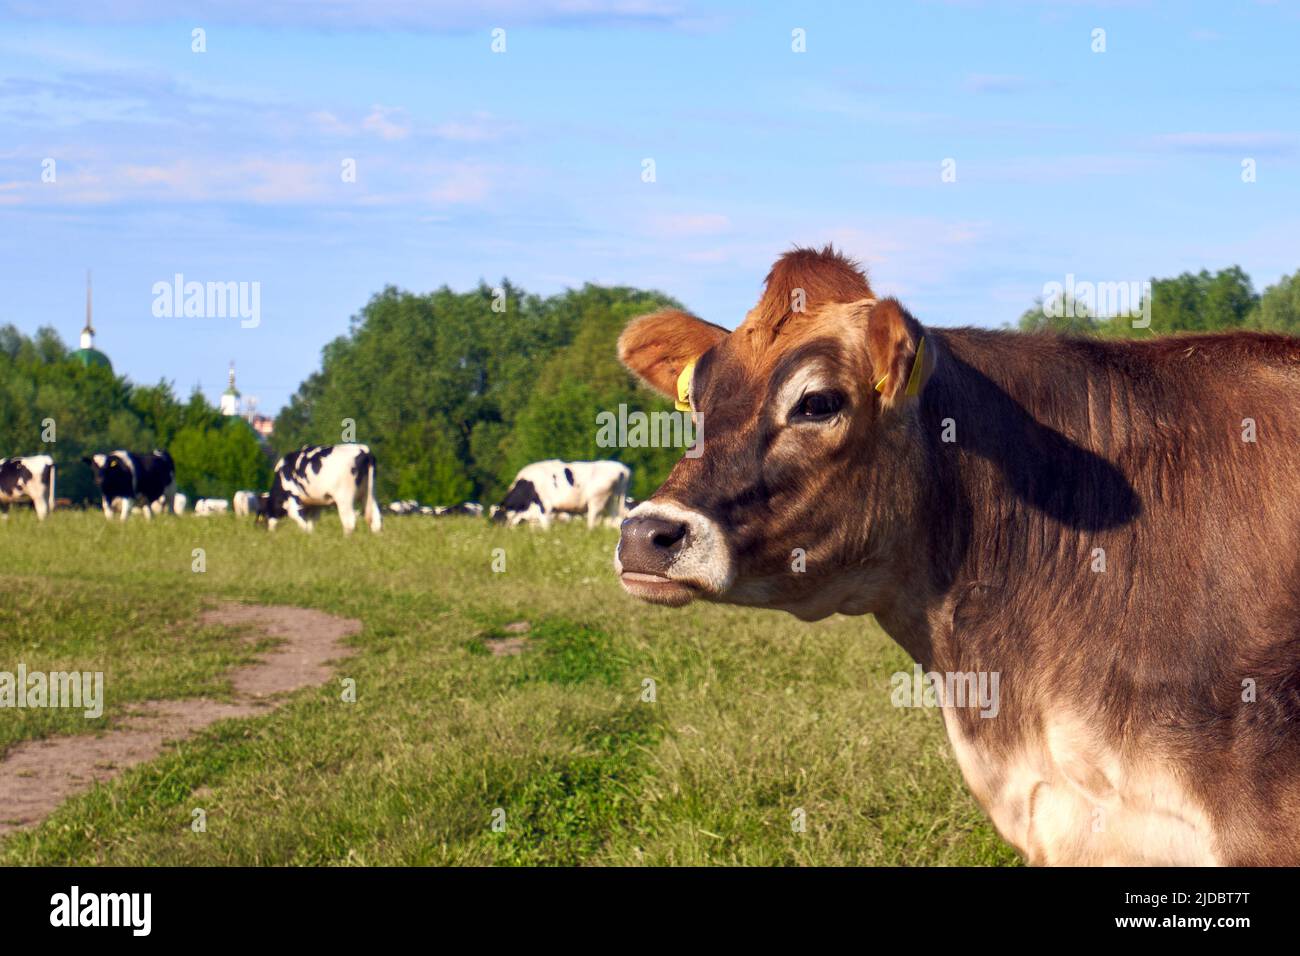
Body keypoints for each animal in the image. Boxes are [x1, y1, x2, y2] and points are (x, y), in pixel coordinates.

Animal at [494, 460, 630, 529]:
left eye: (499, 518)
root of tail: (622, 468)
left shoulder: (545, 507)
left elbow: (546, 527)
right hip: (613, 501)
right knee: (614, 520)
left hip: (597, 501)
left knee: (592, 521)